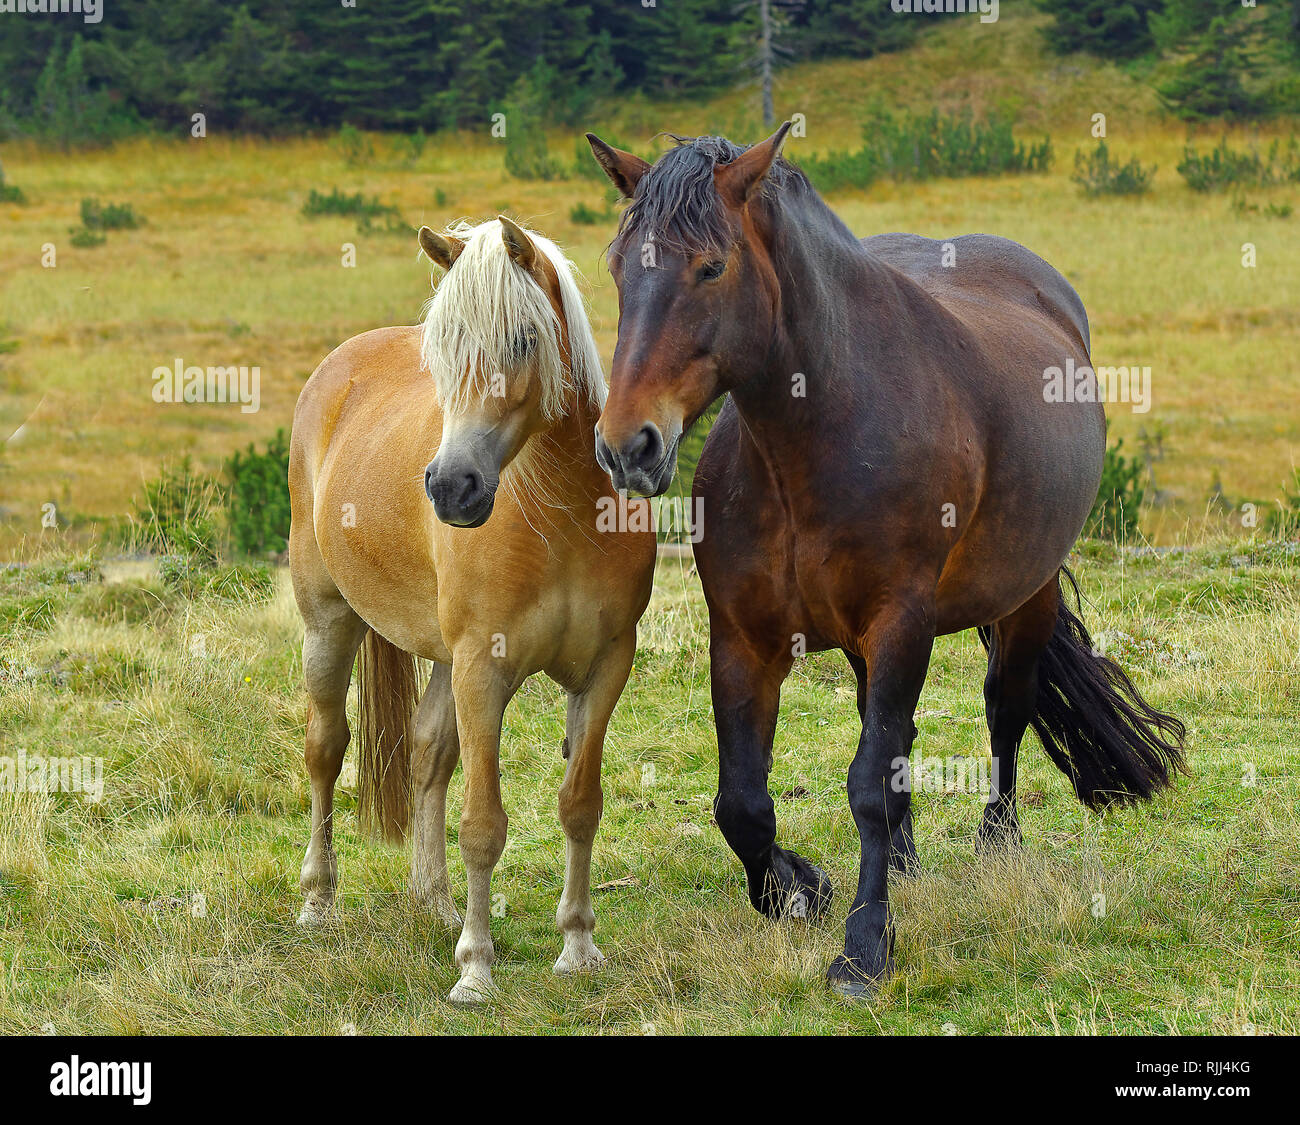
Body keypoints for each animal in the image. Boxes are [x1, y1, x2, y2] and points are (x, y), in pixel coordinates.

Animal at [288, 216, 655, 1003]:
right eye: (442, 350)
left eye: (521, 340)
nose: (451, 486)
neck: (560, 516)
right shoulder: (484, 671)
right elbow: (483, 823)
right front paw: (477, 969)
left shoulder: (605, 668)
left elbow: (580, 804)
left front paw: (577, 944)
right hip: (328, 621)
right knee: (325, 749)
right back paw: (318, 901)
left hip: (442, 661)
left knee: (427, 754)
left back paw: (434, 902)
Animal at [585, 125, 1186, 996]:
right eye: (619, 265)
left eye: (711, 267)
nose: (627, 445)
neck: (815, 440)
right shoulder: (744, 638)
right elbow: (743, 801)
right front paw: (799, 887)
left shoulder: (901, 621)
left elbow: (869, 781)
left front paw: (865, 945)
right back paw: (900, 862)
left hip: (1025, 597)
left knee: (1003, 710)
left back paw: (996, 842)